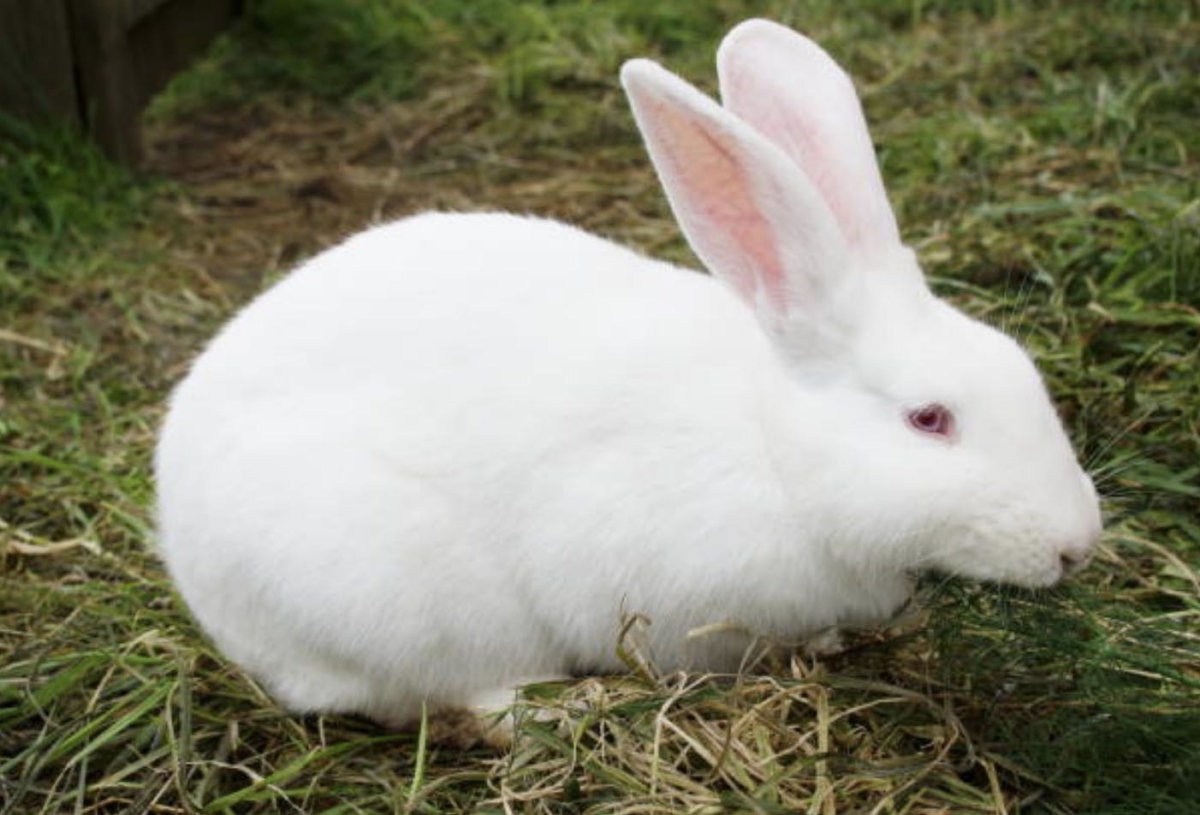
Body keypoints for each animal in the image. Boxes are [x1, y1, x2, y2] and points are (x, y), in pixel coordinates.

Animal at [154, 18, 1102, 733]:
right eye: (928, 419)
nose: (1078, 545)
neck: (775, 448)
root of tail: (196, 565)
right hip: (410, 605)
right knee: (457, 694)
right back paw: (562, 713)